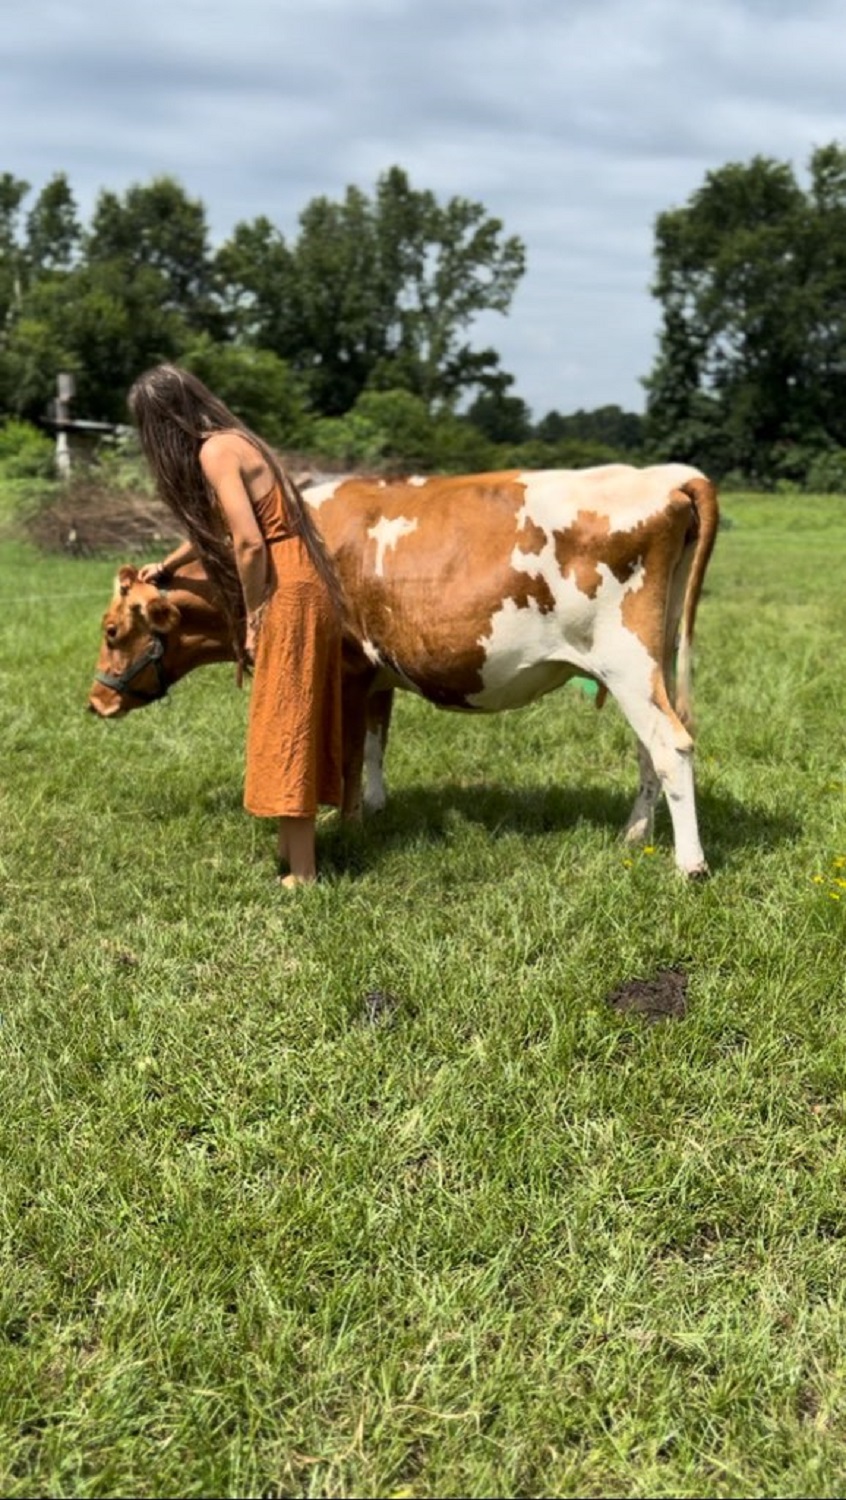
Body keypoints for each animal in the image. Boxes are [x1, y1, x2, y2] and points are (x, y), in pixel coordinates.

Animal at [89, 464, 719, 875]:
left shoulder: (345, 668)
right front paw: (374, 811)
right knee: (649, 748)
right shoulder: (376, 674)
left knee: (670, 744)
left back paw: (689, 864)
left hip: (625, 658)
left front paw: (344, 829)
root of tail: (666, 475)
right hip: (650, 662)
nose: (97, 702)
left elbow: (345, 757)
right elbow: (374, 743)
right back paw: (634, 835)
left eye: (112, 630)